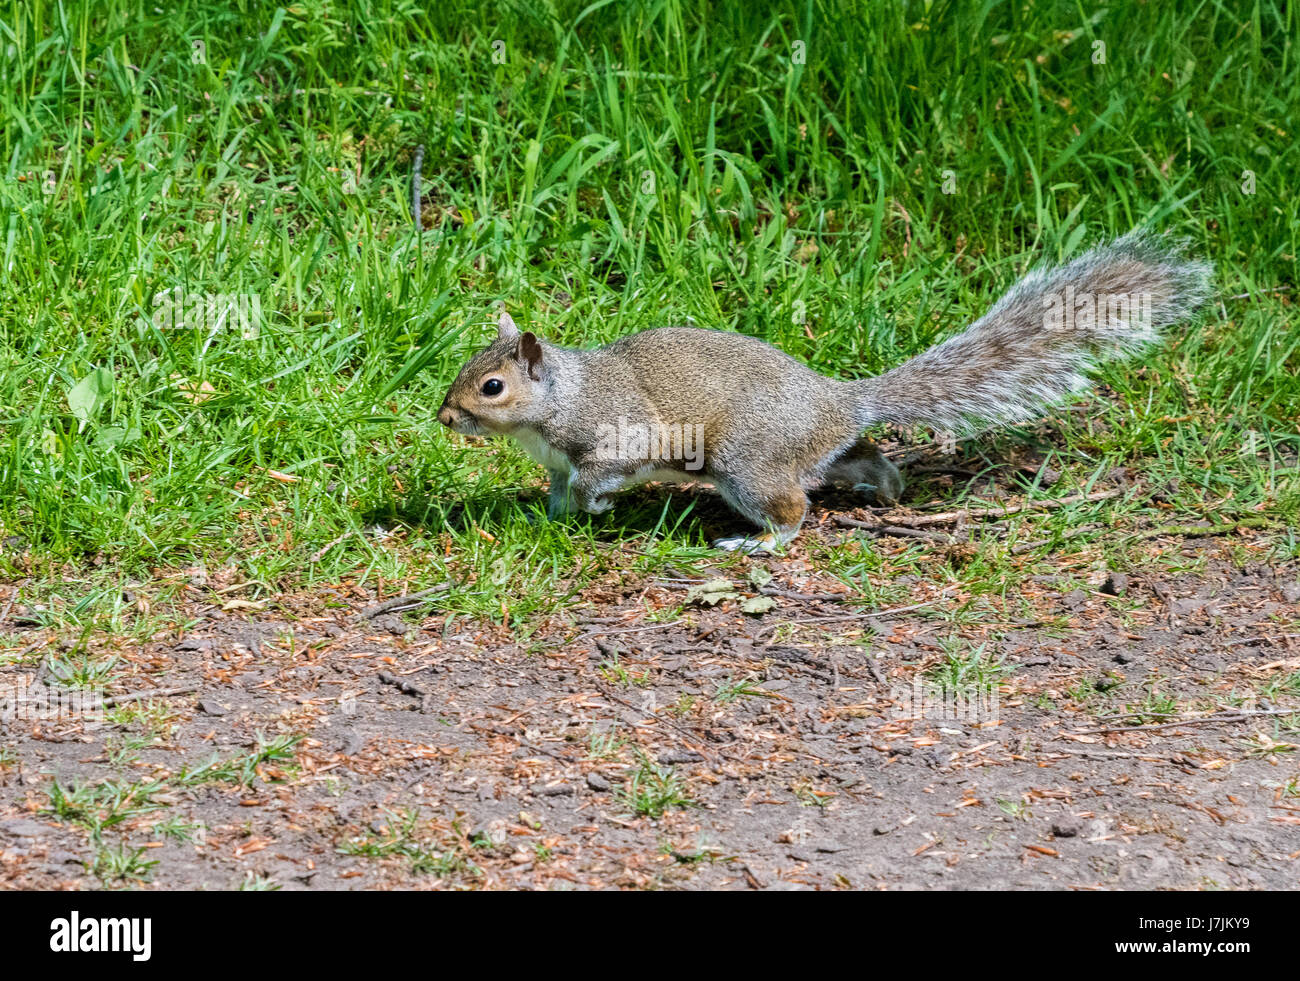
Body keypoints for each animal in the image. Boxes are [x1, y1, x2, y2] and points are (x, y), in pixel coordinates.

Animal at [438, 231, 1211, 552]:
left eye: (493, 385)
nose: (445, 417)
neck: (560, 397)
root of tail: (842, 400)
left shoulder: (617, 432)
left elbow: (600, 474)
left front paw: (592, 508)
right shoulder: (556, 461)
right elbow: (558, 492)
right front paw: (549, 518)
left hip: (746, 461)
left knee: (792, 509)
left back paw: (757, 543)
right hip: (815, 448)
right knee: (859, 457)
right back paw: (884, 488)